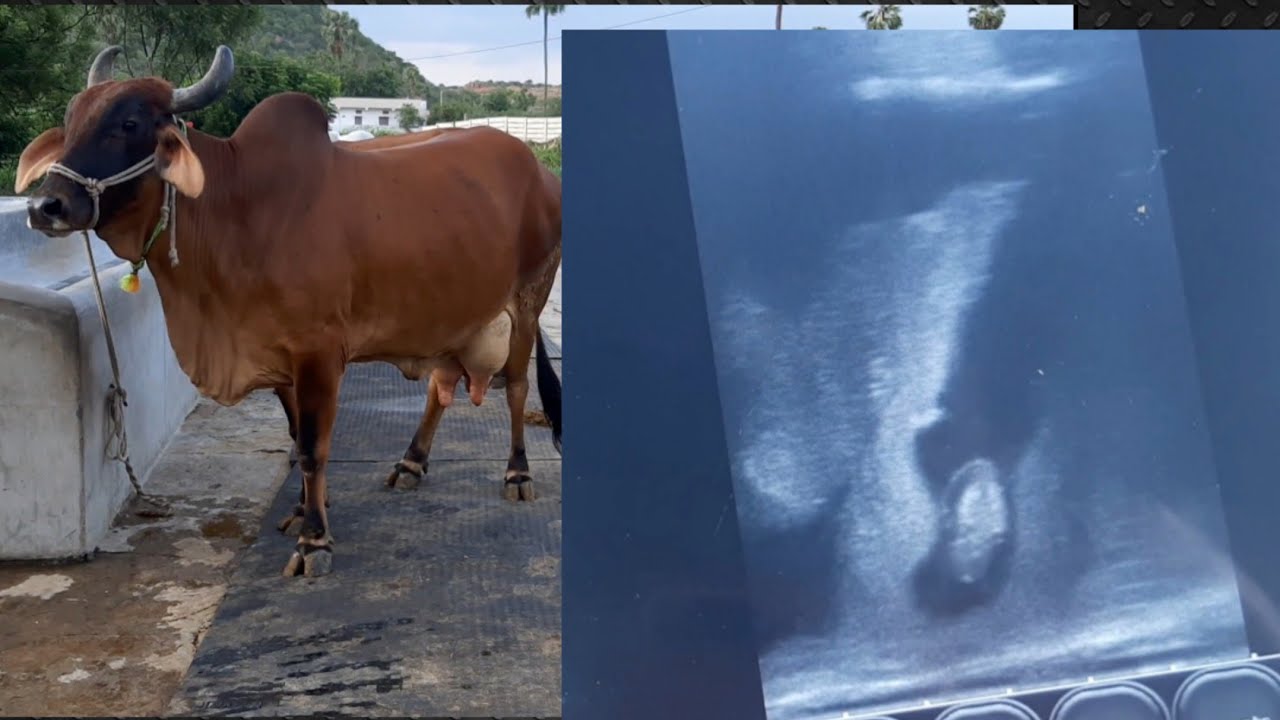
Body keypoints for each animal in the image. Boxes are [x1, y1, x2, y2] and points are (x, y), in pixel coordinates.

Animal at [15, 45, 563, 579]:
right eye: (71, 119)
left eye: (129, 123)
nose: (46, 206)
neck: (237, 210)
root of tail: (541, 171)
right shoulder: (275, 356)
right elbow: (297, 436)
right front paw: (302, 511)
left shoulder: (318, 352)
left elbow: (314, 448)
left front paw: (314, 540)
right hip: (453, 318)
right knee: (439, 388)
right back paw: (411, 463)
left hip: (528, 302)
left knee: (517, 387)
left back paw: (517, 472)